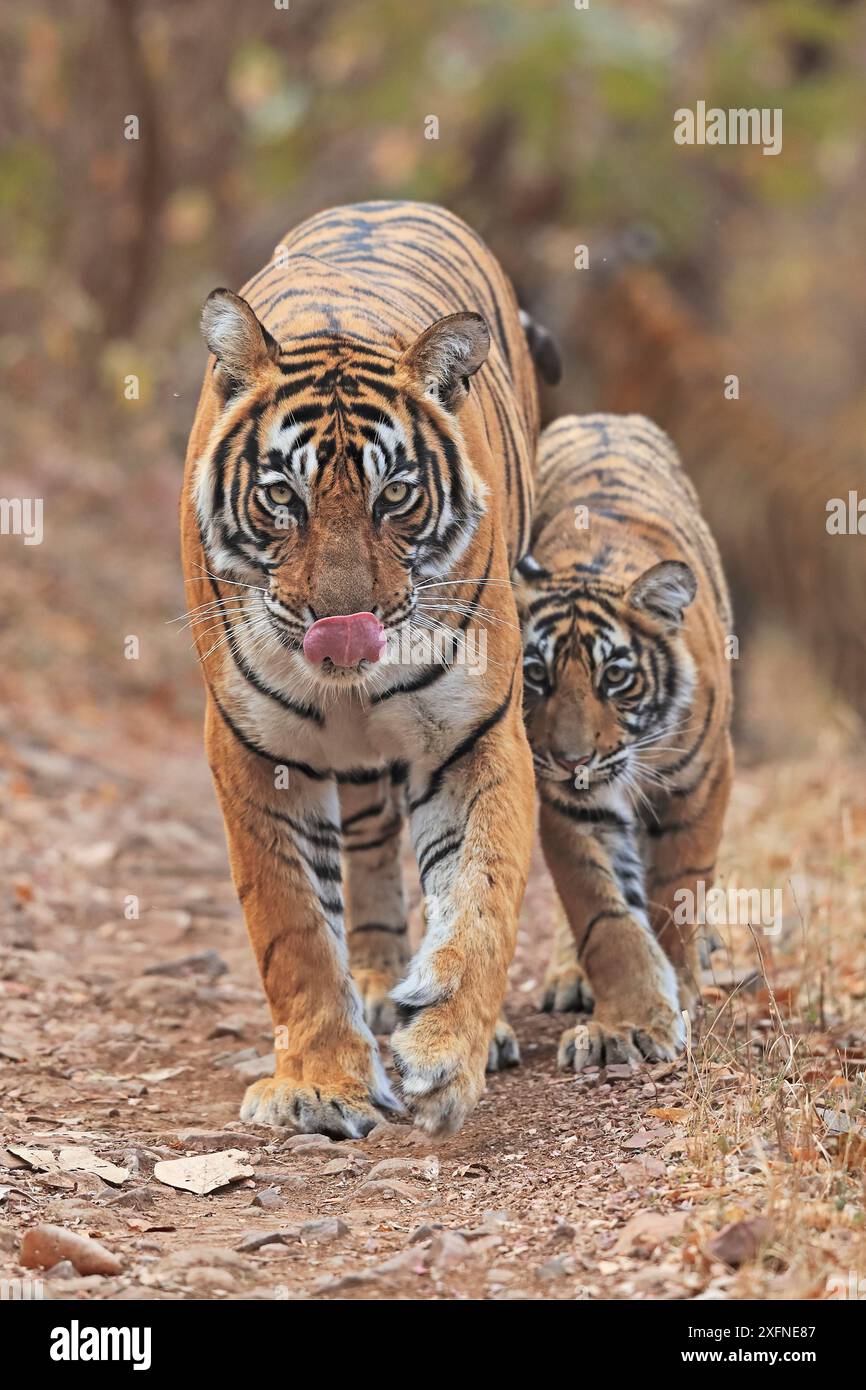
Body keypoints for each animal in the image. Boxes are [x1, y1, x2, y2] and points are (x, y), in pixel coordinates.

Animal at [180, 200, 558, 1138]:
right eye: (283, 496)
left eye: (397, 496)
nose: (342, 631)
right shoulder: (258, 753)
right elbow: (296, 932)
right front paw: (323, 1083)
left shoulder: (473, 736)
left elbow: (481, 897)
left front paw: (447, 1052)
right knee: (370, 845)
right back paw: (384, 982)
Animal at [516, 413, 734, 1070]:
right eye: (535, 676)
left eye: (615, 677)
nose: (573, 759)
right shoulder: (568, 805)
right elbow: (604, 915)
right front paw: (630, 1023)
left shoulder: (700, 784)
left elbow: (675, 896)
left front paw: (678, 994)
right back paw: (568, 977)